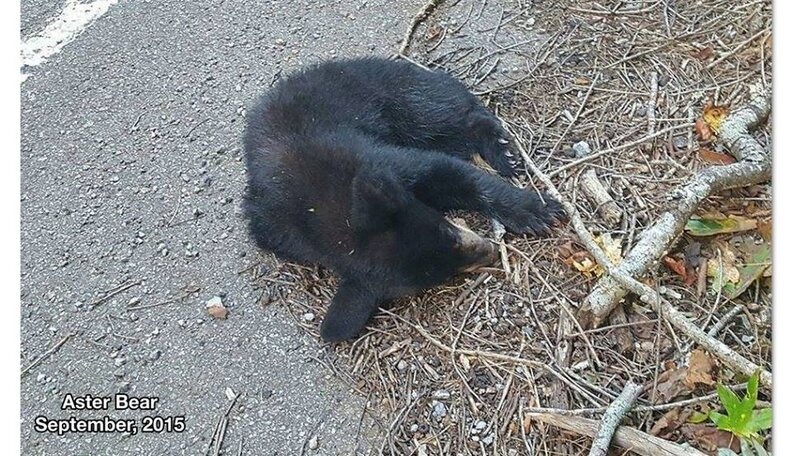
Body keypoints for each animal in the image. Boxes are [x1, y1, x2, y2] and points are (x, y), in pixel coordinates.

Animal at [243, 57, 563, 342]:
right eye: (447, 274)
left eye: (448, 230)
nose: (491, 252)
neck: (318, 205)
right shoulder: (279, 232)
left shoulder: (365, 158)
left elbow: (446, 172)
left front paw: (534, 209)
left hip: (388, 91)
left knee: (442, 112)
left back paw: (502, 150)